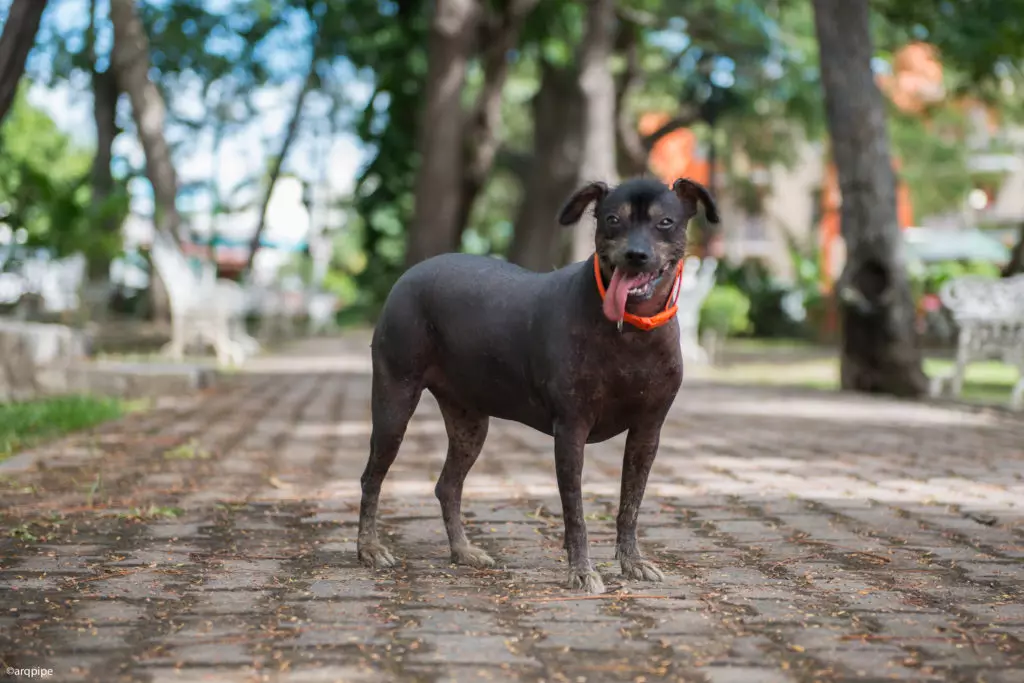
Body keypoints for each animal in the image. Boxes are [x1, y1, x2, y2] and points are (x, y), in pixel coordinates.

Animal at [360, 175, 720, 593]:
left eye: (665, 222)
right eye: (612, 219)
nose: (636, 255)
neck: (630, 330)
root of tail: (411, 273)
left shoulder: (647, 433)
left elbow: (630, 505)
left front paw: (632, 561)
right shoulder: (570, 431)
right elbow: (575, 512)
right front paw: (581, 570)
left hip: (470, 424)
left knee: (447, 486)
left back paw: (463, 551)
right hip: (394, 404)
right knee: (372, 477)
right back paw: (369, 549)